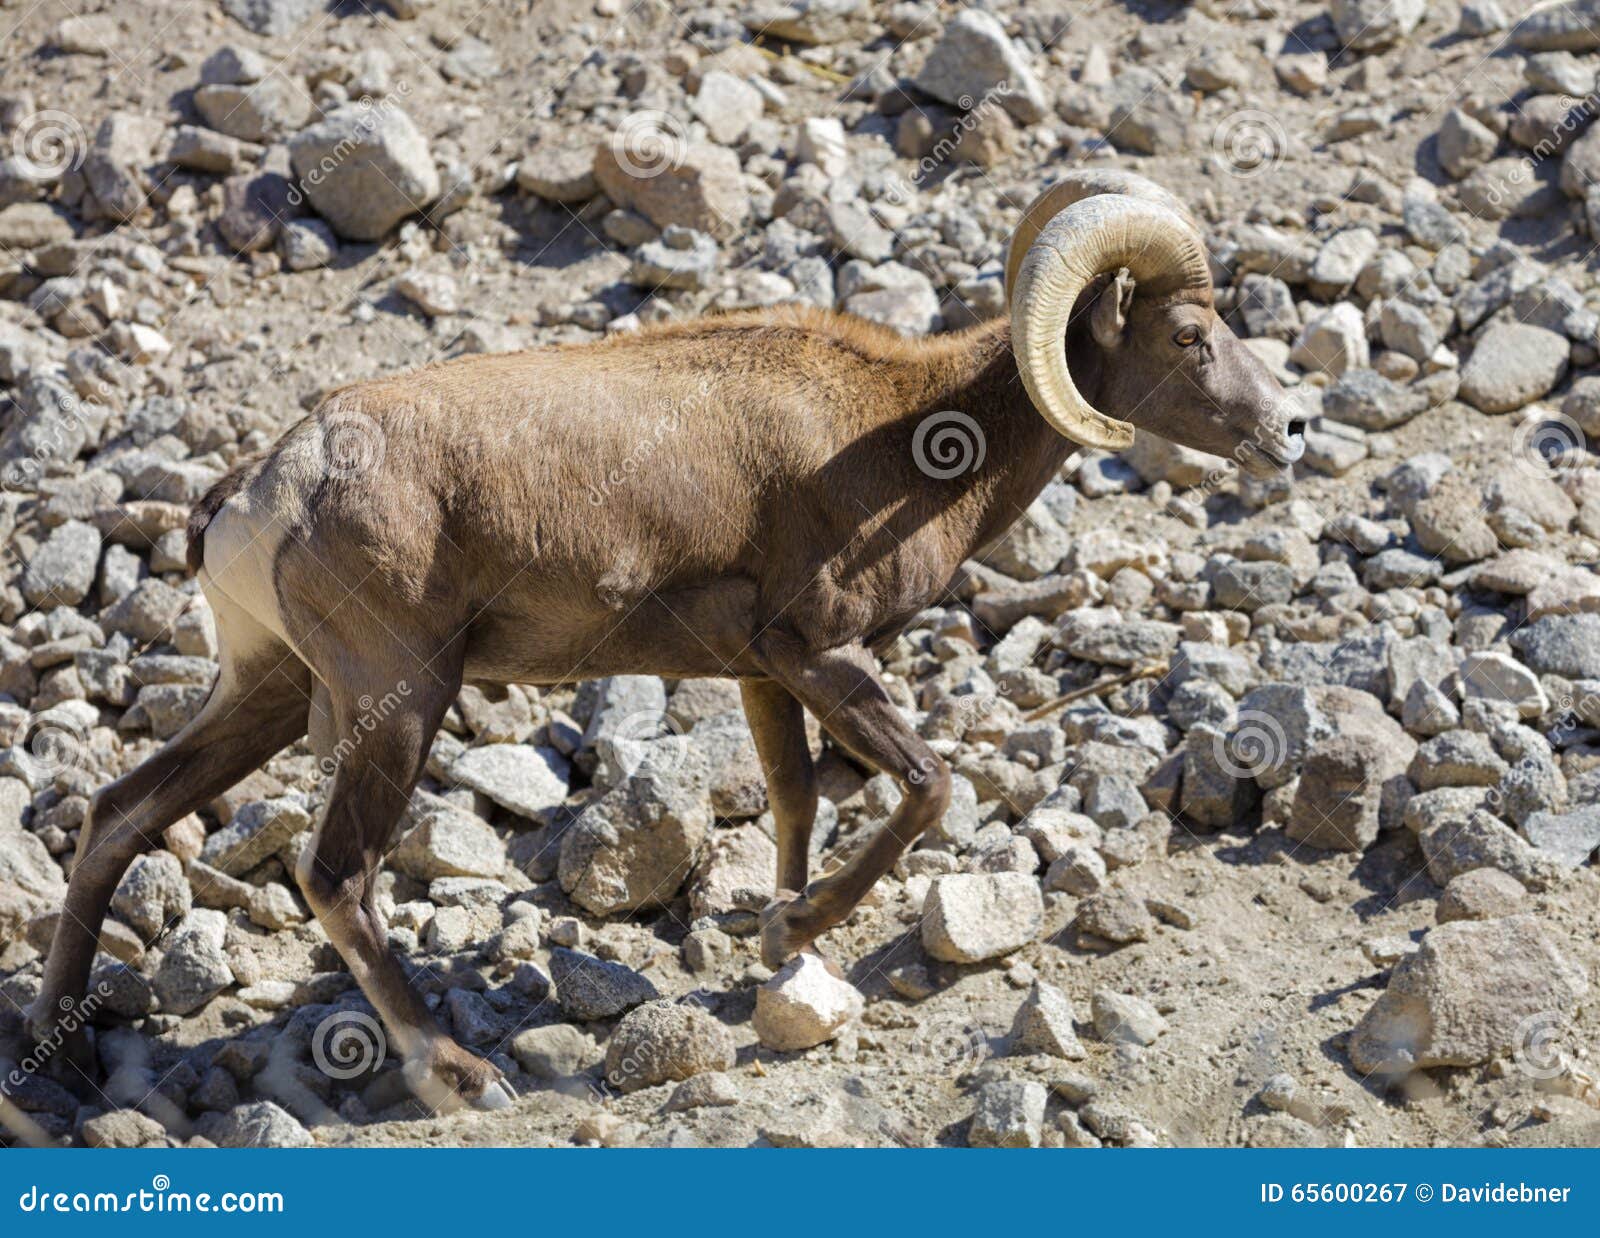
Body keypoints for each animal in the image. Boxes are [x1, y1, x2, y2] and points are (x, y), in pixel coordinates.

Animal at [33, 171, 1303, 1112]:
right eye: (1189, 334)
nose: (1287, 429)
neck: (908, 434)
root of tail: (263, 489)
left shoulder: (761, 675)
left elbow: (795, 797)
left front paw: (780, 954)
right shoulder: (815, 650)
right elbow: (926, 785)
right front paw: (796, 925)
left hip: (264, 689)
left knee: (119, 816)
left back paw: (57, 1069)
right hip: (400, 702)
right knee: (334, 874)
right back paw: (460, 1075)